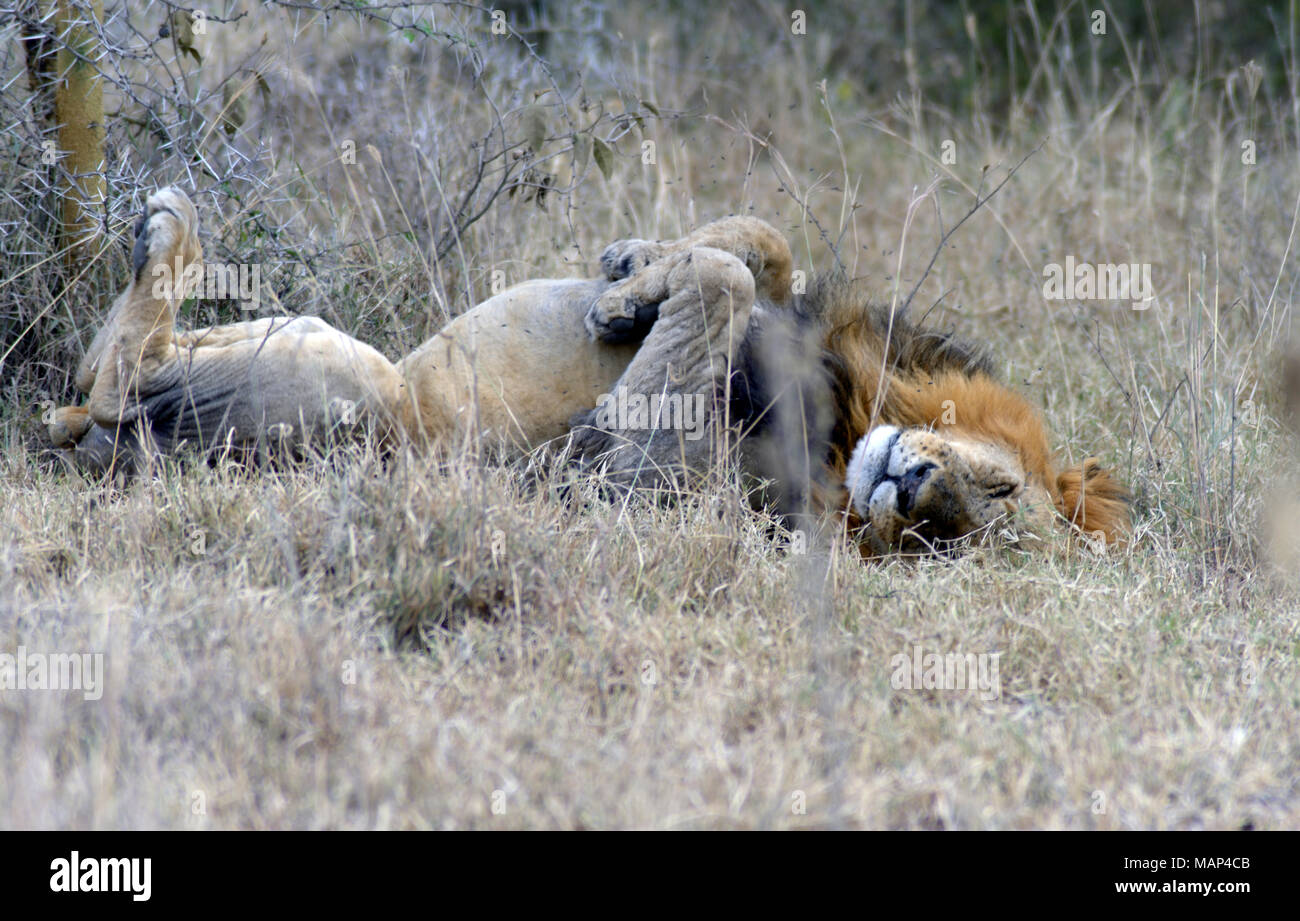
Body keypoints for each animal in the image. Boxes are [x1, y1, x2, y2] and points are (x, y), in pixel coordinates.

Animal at [47, 186, 1129, 554]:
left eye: (949, 540)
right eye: (993, 488)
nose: (911, 489)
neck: (845, 428)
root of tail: (99, 454)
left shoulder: (629, 473)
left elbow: (728, 275)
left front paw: (631, 289)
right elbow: (759, 246)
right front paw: (629, 270)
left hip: (351, 394)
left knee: (126, 377)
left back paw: (166, 229)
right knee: (108, 369)